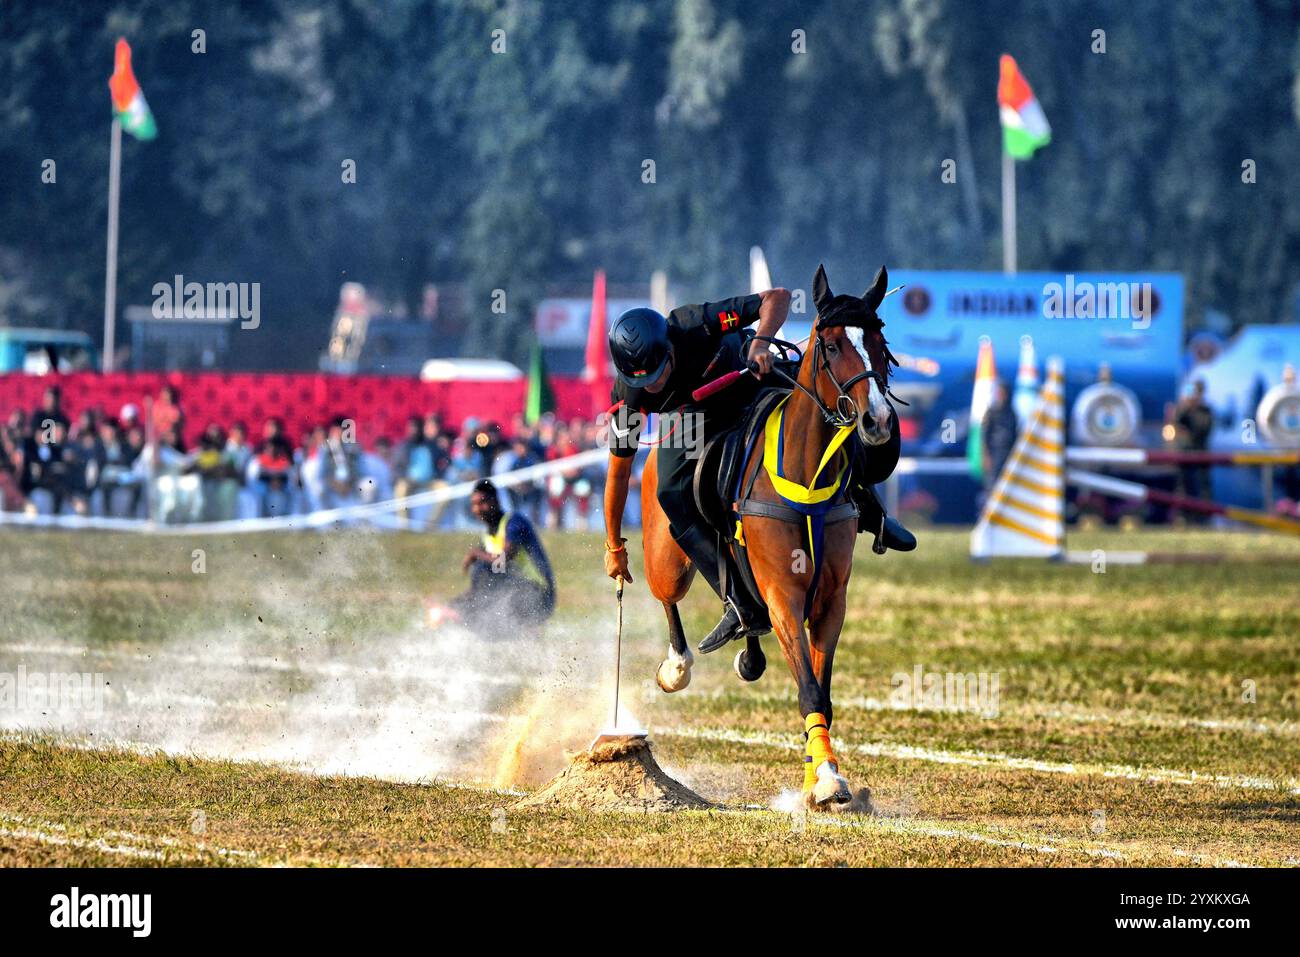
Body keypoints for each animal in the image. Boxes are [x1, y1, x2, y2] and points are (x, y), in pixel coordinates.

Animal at [641, 264, 899, 806]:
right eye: (831, 344)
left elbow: (820, 690)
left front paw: (817, 775)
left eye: (880, 342)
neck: (808, 475)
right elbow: (808, 687)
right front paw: (827, 779)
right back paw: (678, 664)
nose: (879, 420)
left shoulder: (830, 600)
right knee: (668, 596)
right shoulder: (783, 594)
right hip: (666, 558)